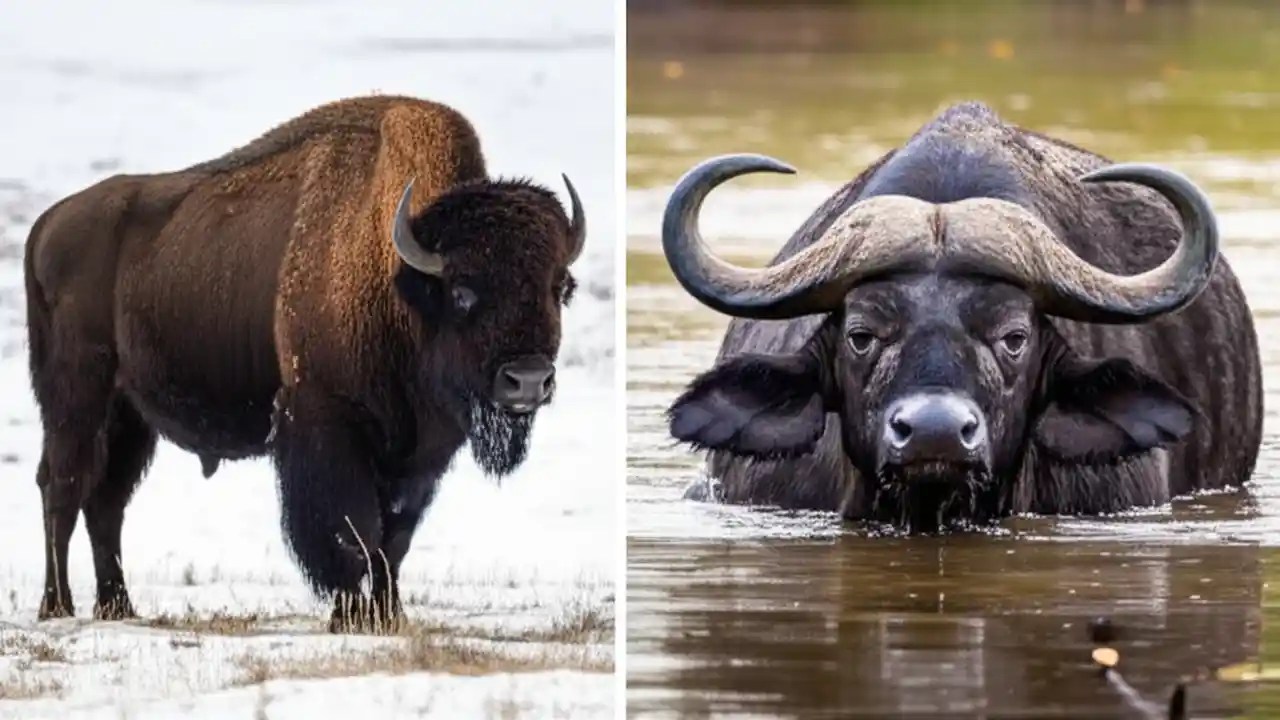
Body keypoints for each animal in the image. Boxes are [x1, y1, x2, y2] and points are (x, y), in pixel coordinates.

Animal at [24, 95, 586, 630]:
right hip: (77, 398)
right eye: (463, 291)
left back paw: (117, 606)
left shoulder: (422, 452)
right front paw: (348, 615)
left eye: (558, 287)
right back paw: (58, 606)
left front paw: (389, 615)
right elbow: (349, 531)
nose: (528, 381)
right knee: (62, 488)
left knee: (106, 502)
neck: (399, 283)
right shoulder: (326, 424)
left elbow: (394, 537)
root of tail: (47, 223)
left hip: (130, 416)